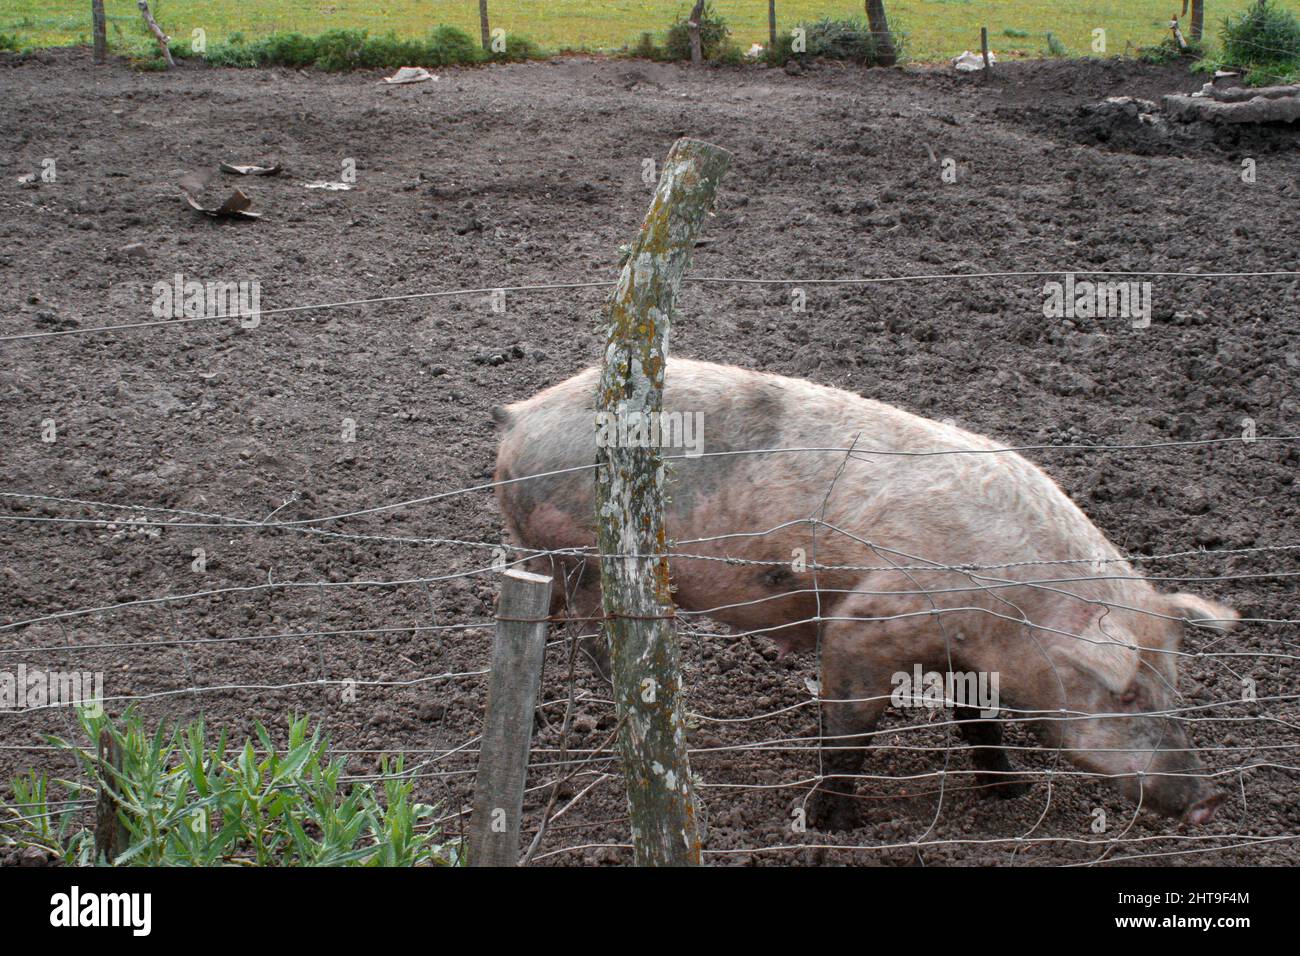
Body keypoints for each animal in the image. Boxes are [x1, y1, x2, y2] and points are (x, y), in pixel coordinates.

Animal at [492, 358, 1235, 830]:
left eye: (1175, 685)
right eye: (1126, 695)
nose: (1209, 799)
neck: (1016, 613)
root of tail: (519, 414)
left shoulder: (962, 655)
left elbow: (977, 720)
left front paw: (1010, 791)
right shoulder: (865, 627)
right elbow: (848, 730)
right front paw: (835, 825)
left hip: (546, 558)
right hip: (587, 560)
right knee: (596, 641)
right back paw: (676, 721)